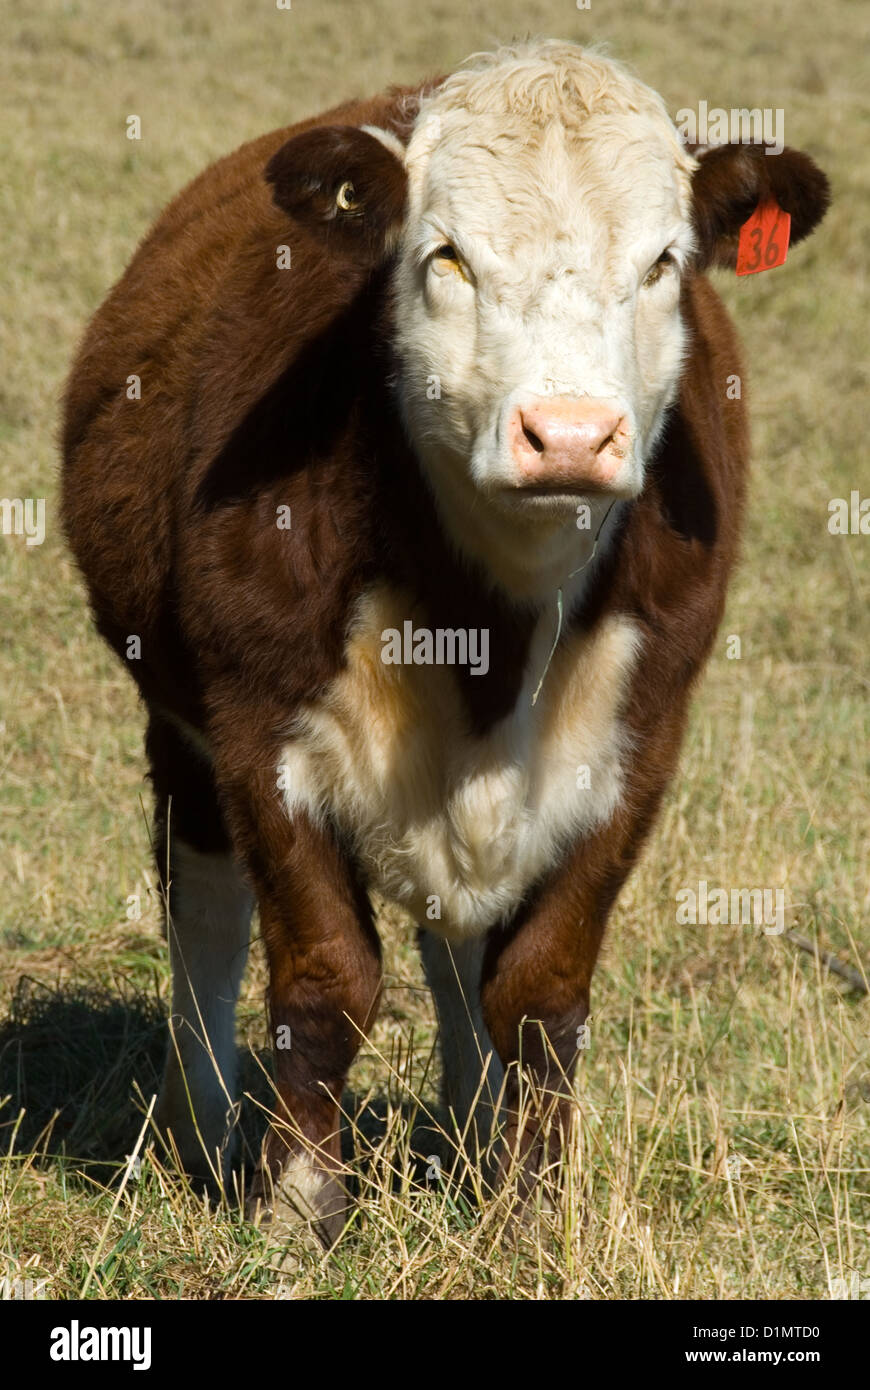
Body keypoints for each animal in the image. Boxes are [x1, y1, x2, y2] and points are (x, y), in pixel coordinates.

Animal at [61, 39, 830, 1247]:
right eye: (447, 256)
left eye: (665, 262)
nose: (570, 436)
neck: (495, 623)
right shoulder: (256, 726)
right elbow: (325, 980)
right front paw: (299, 1208)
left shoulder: (642, 740)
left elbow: (540, 992)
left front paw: (531, 1211)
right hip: (177, 728)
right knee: (207, 911)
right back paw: (205, 1131)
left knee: (459, 954)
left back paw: (471, 1144)